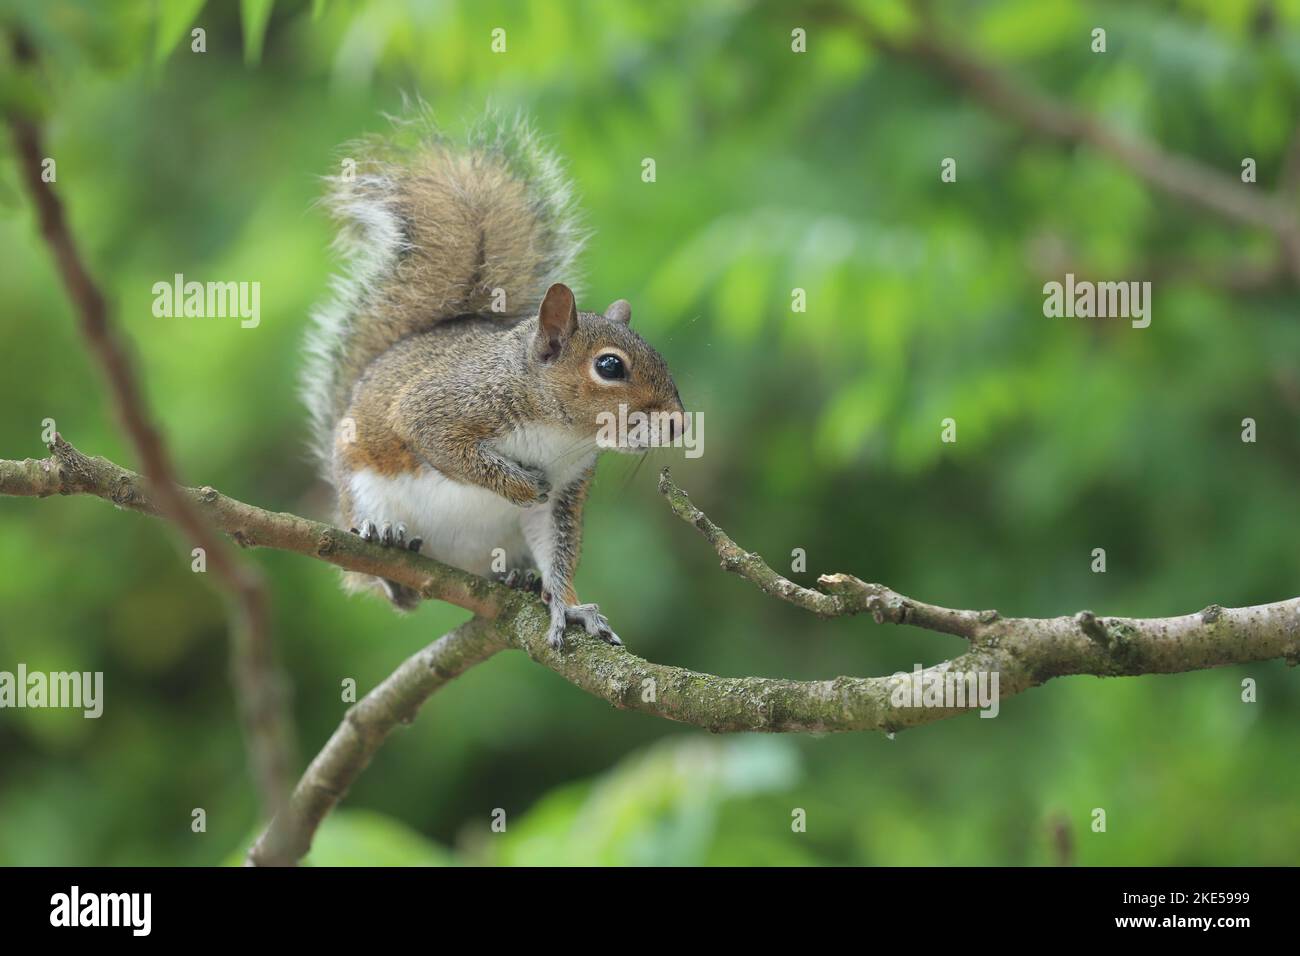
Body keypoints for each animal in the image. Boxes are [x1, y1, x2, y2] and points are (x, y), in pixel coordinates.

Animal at [301, 111, 685, 650]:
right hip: (359, 488)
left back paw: (520, 579)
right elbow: (442, 444)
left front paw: (568, 607)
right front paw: (520, 484)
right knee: (388, 581)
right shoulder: (446, 405)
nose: (679, 424)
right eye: (610, 367)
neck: (558, 431)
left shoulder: (568, 489)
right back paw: (388, 553)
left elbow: (557, 548)